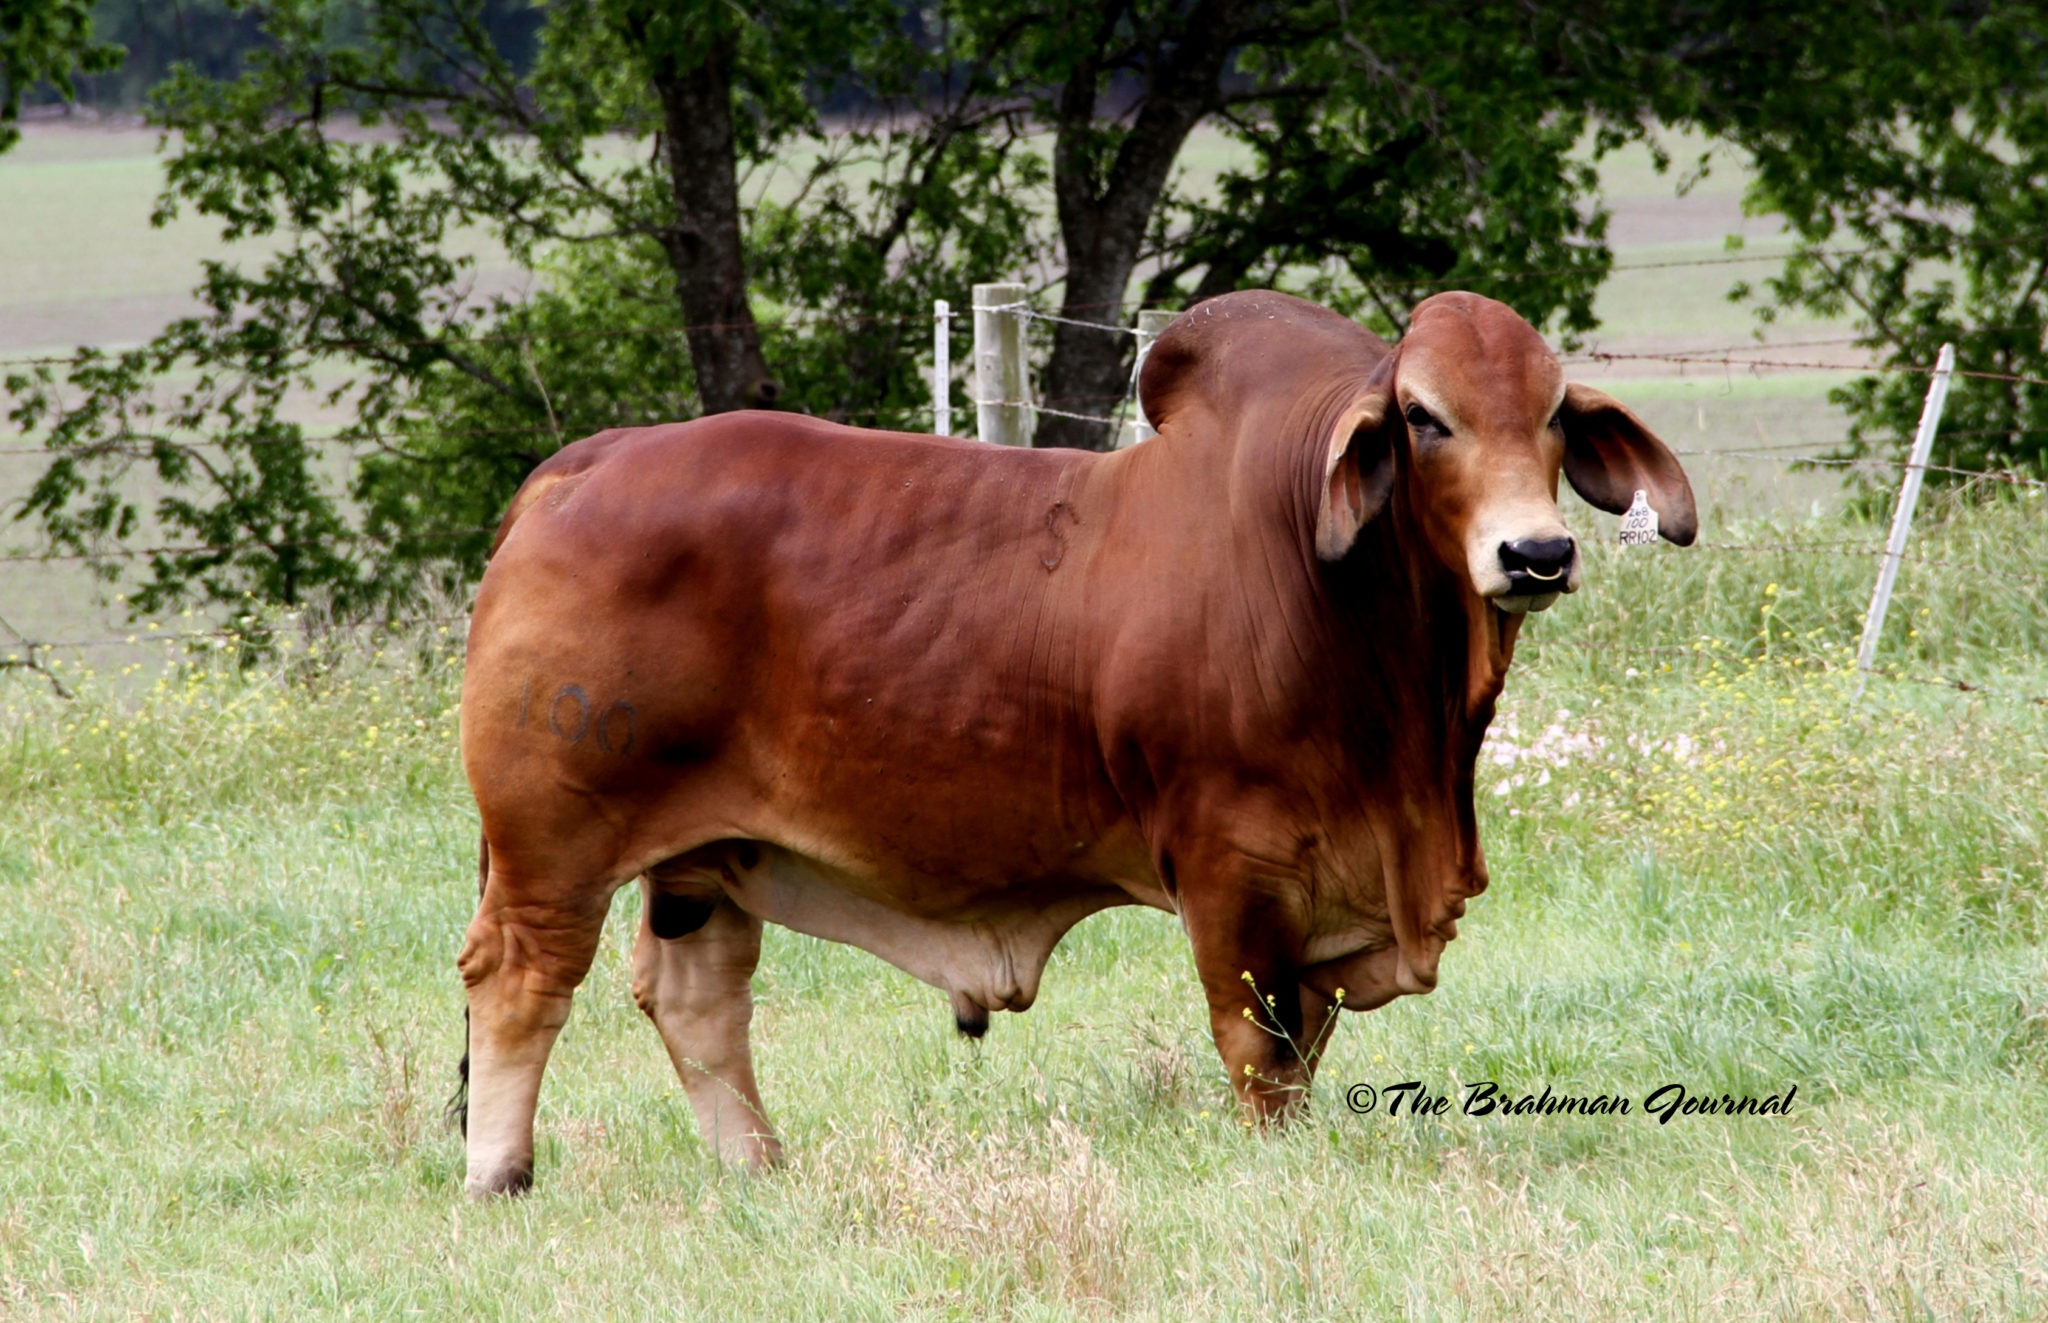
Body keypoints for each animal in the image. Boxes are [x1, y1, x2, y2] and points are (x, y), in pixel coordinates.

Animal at [452, 289, 1696, 1196]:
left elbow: (1305, 1046)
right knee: (519, 981)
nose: (1534, 554)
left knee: (695, 1000)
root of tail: (585, 464)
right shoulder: (1231, 868)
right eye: (1426, 418)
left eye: (1550, 416)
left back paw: (759, 1170)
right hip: (554, 843)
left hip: (700, 861)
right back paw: (499, 1175)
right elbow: (1261, 1049)